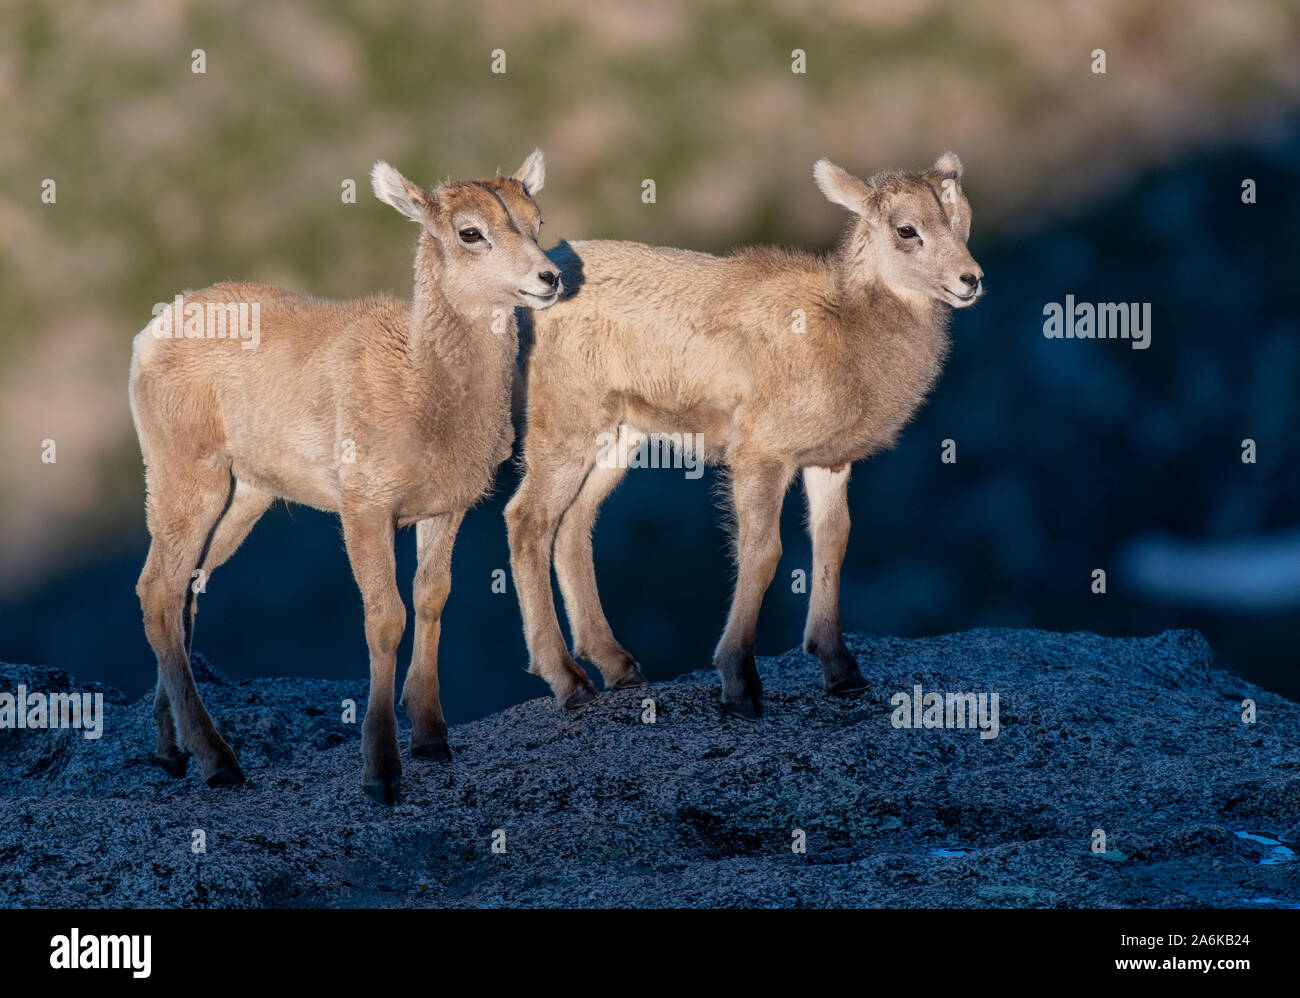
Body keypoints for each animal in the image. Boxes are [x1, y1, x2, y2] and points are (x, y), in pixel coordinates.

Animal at [129, 151, 560, 803]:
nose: (549, 278)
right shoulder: (365, 511)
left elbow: (431, 599)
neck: (422, 386)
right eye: (470, 233)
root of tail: (147, 339)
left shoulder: (444, 509)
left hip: (242, 500)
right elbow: (385, 620)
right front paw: (382, 773)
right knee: (158, 592)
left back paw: (171, 753)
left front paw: (432, 740)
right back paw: (219, 763)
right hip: (188, 482)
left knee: (185, 595)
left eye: (535, 221)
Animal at [506, 152, 982, 718]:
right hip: (566, 426)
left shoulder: (827, 462)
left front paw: (843, 673)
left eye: (964, 217)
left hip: (619, 439)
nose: (970, 280)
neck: (844, 330)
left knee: (574, 526)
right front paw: (740, 686)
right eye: (907, 229)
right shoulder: (762, 456)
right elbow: (762, 552)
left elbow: (833, 540)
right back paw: (568, 681)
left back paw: (620, 667)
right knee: (529, 520)